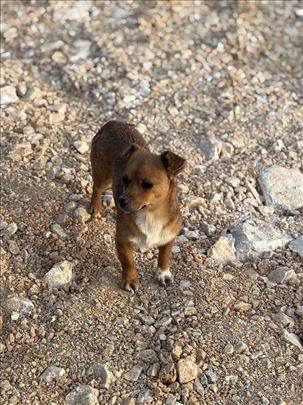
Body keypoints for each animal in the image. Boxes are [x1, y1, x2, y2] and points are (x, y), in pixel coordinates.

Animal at [89, 120, 185, 290]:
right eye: (124, 179)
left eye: (147, 184)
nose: (121, 201)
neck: (150, 214)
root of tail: (112, 123)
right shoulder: (122, 240)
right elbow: (129, 262)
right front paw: (131, 280)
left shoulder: (169, 237)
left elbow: (164, 257)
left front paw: (163, 273)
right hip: (103, 176)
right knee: (97, 188)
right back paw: (96, 207)